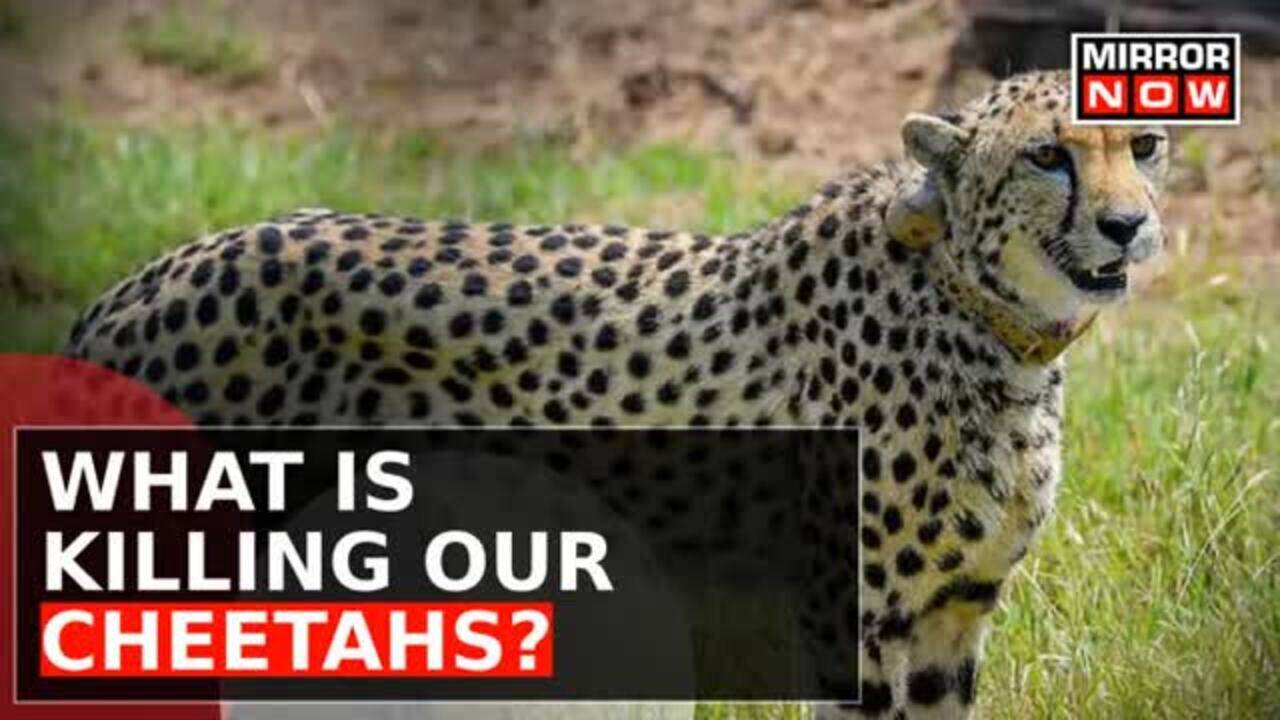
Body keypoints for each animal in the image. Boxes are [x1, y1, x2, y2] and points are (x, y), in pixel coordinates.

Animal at [63, 70, 1169, 718]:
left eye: (1145, 144)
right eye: (1046, 155)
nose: (1127, 226)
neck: (989, 317)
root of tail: (149, 275)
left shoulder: (950, 611)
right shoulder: (854, 614)